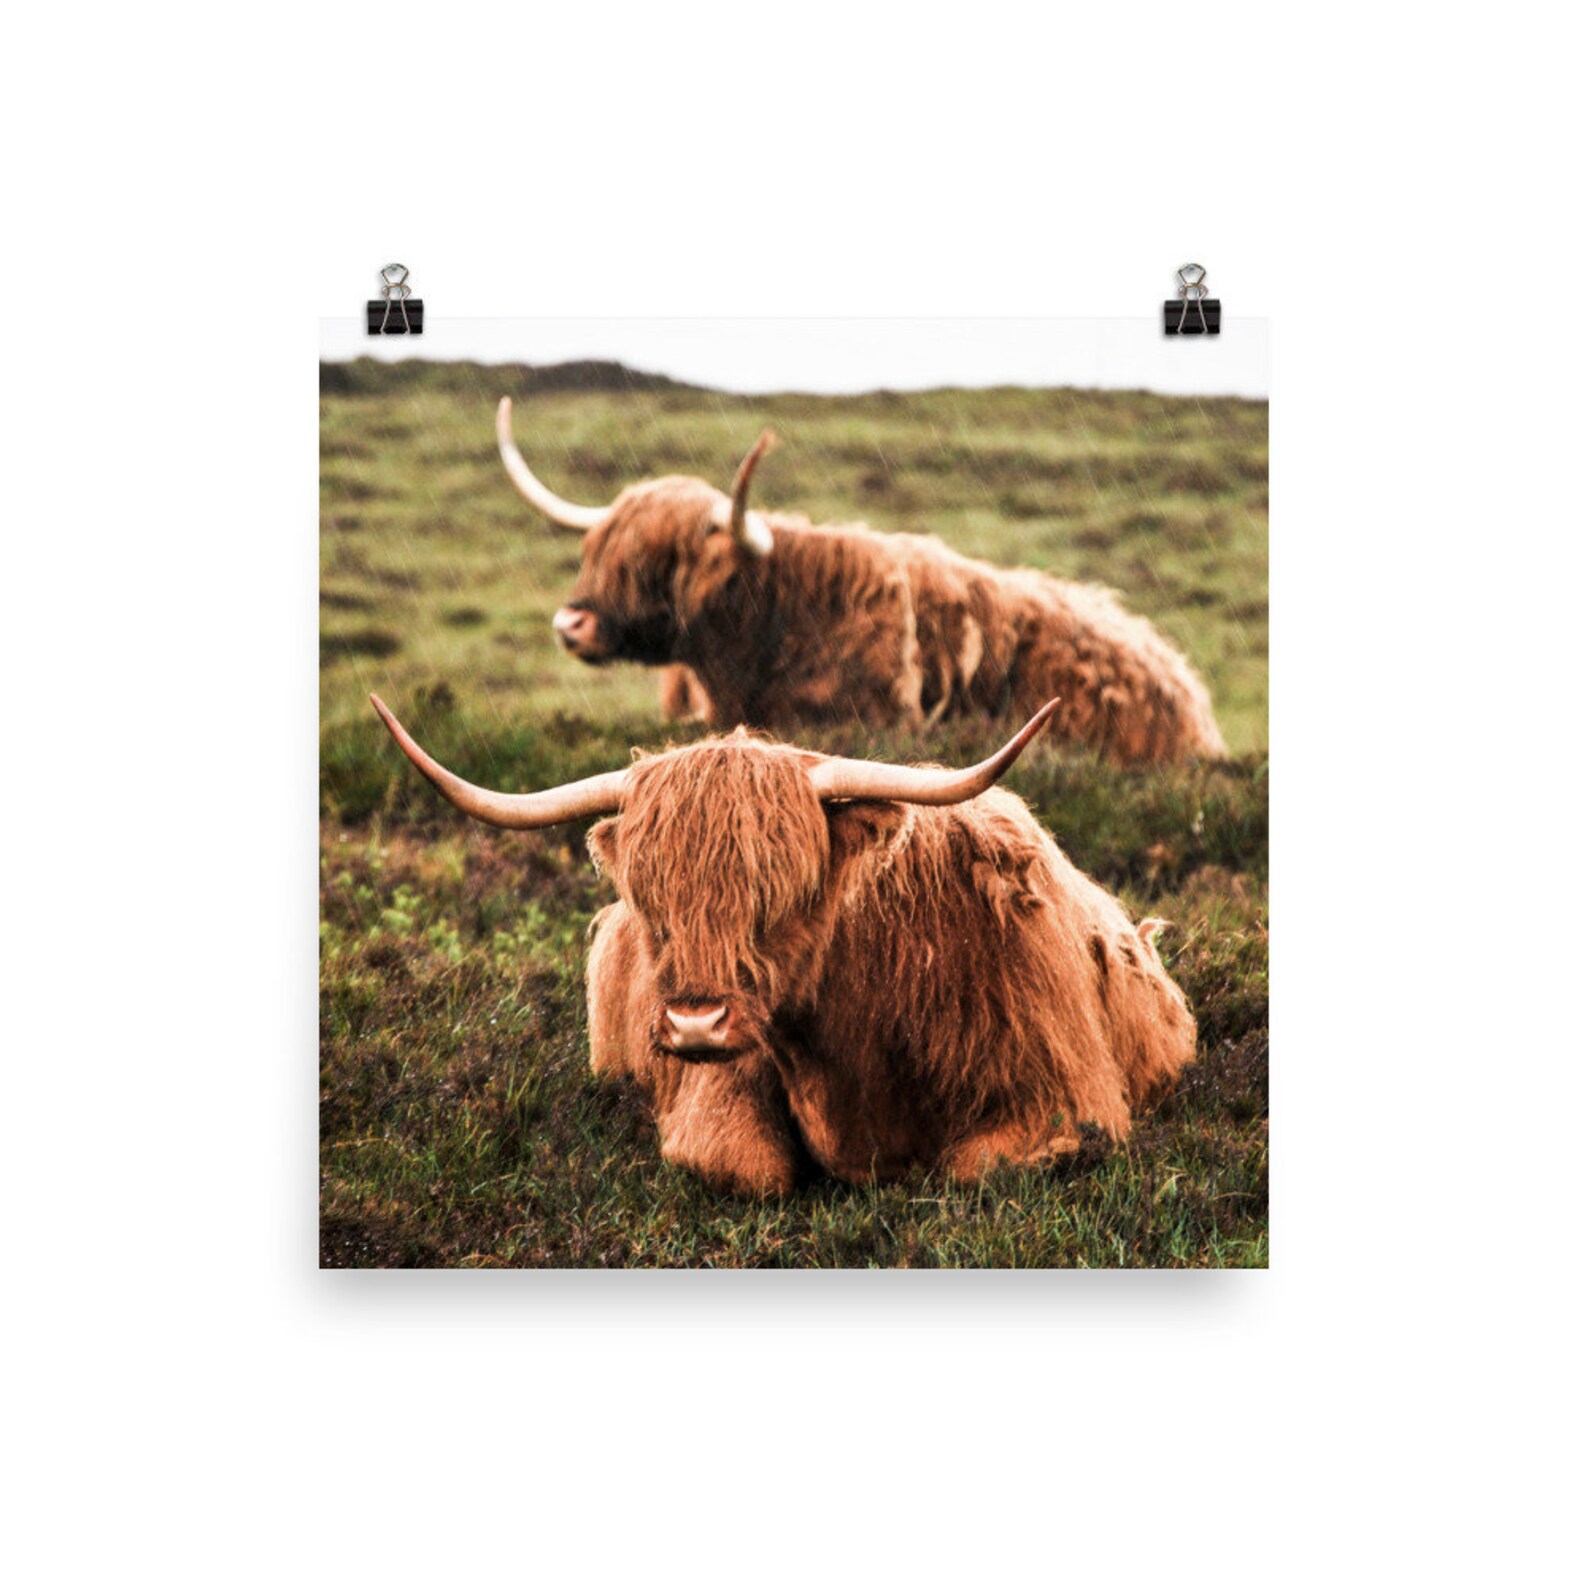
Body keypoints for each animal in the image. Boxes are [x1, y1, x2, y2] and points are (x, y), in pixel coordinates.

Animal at [370, 692, 1198, 1194]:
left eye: (779, 895)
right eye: (653, 902)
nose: (695, 1024)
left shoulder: (1063, 1101)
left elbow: (970, 1168)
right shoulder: (719, 1092)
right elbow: (749, 1168)